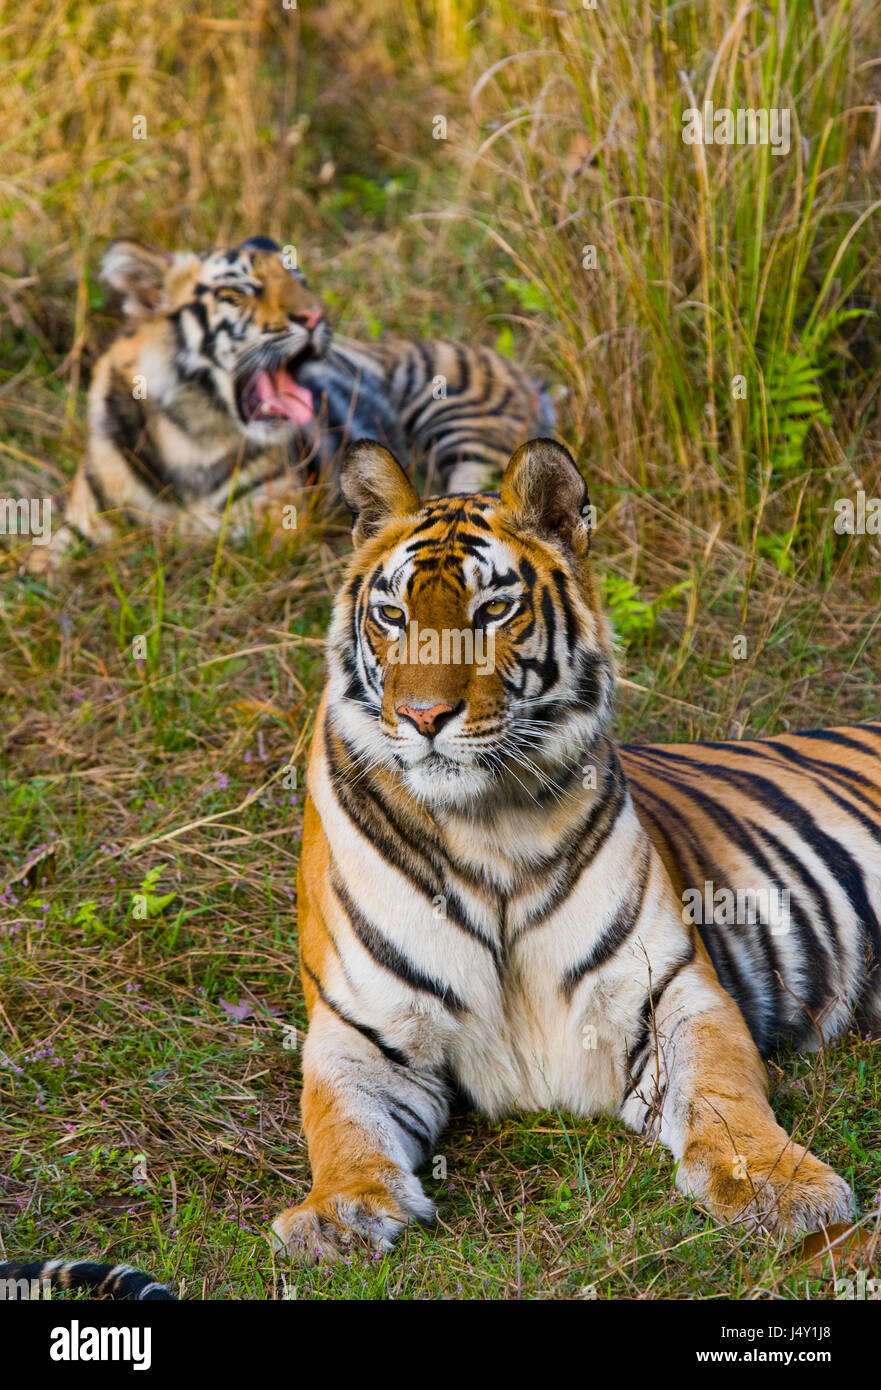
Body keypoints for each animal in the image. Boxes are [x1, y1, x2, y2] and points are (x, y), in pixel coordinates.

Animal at [26, 236, 553, 574]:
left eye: (298, 279)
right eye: (239, 291)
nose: (316, 315)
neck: (189, 434)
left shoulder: (272, 522)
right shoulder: (83, 524)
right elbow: (38, 563)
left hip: (463, 430)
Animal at [271, 435, 876, 1264]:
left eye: (492, 610)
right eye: (391, 615)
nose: (422, 717)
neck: (484, 826)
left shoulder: (669, 988)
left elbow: (724, 1093)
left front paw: (783, 1187)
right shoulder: (361, 1029)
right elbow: (336, 1123)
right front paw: (337, 1212)